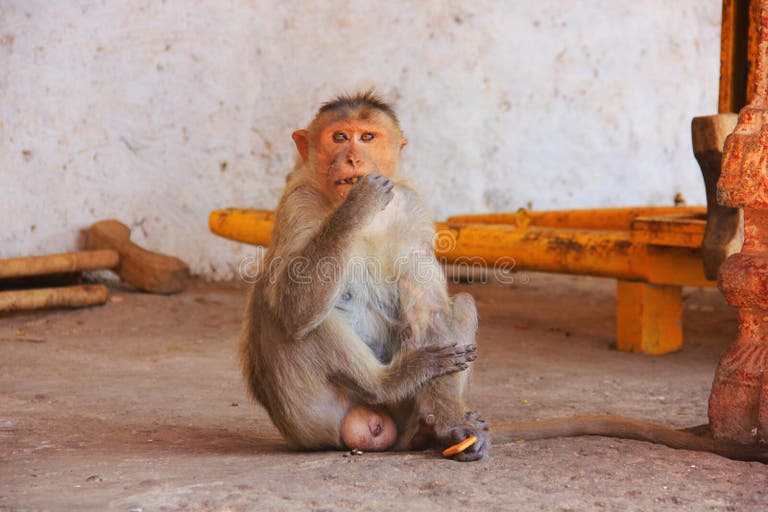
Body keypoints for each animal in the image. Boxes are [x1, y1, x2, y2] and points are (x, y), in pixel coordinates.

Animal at [240, 91, 489, 461]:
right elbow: (292, 303)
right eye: (340, 137)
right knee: (284, 312)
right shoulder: (297, 202)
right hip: (311, 419)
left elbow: (430, 314)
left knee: (462, 304)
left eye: (367, 137)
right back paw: (389, 382)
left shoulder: (413, 209)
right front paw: (356, 207)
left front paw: (454, 427)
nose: (353, 158)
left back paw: (427, 432)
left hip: (399, 418)